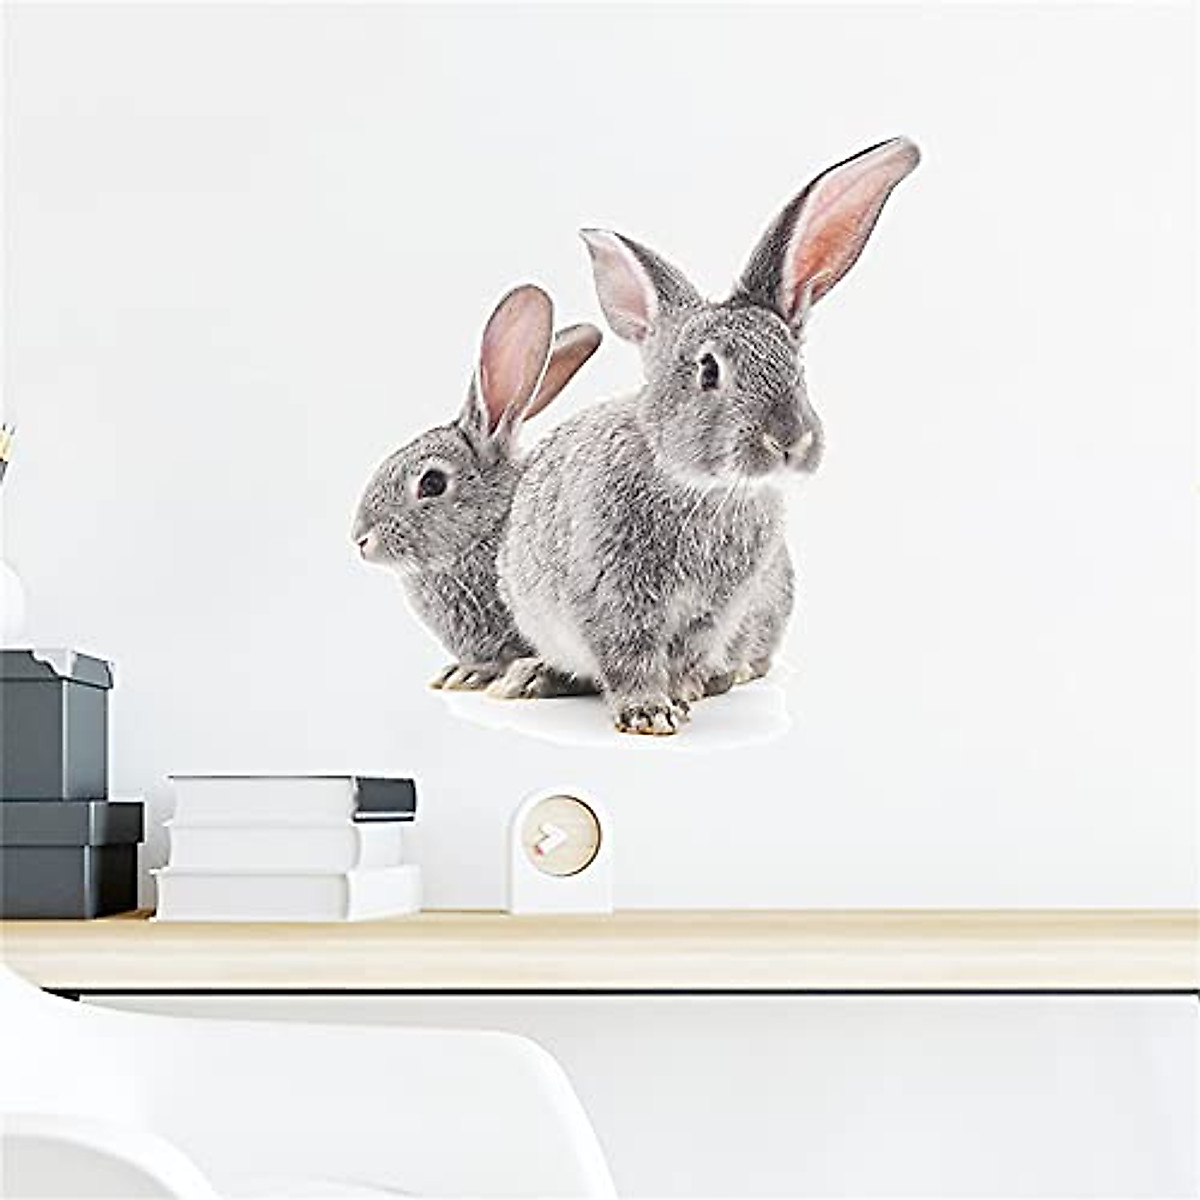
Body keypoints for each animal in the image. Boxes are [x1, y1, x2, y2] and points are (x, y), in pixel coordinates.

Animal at [493, 138, 920, 734]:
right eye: (708, 371)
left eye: (798, 369)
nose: (788, 441)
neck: (707, 489)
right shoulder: (613, 600)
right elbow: (629, 657)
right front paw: (648, 713)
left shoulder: (713, 611)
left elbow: (685, 655)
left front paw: (683, 695)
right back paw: (531, 678)